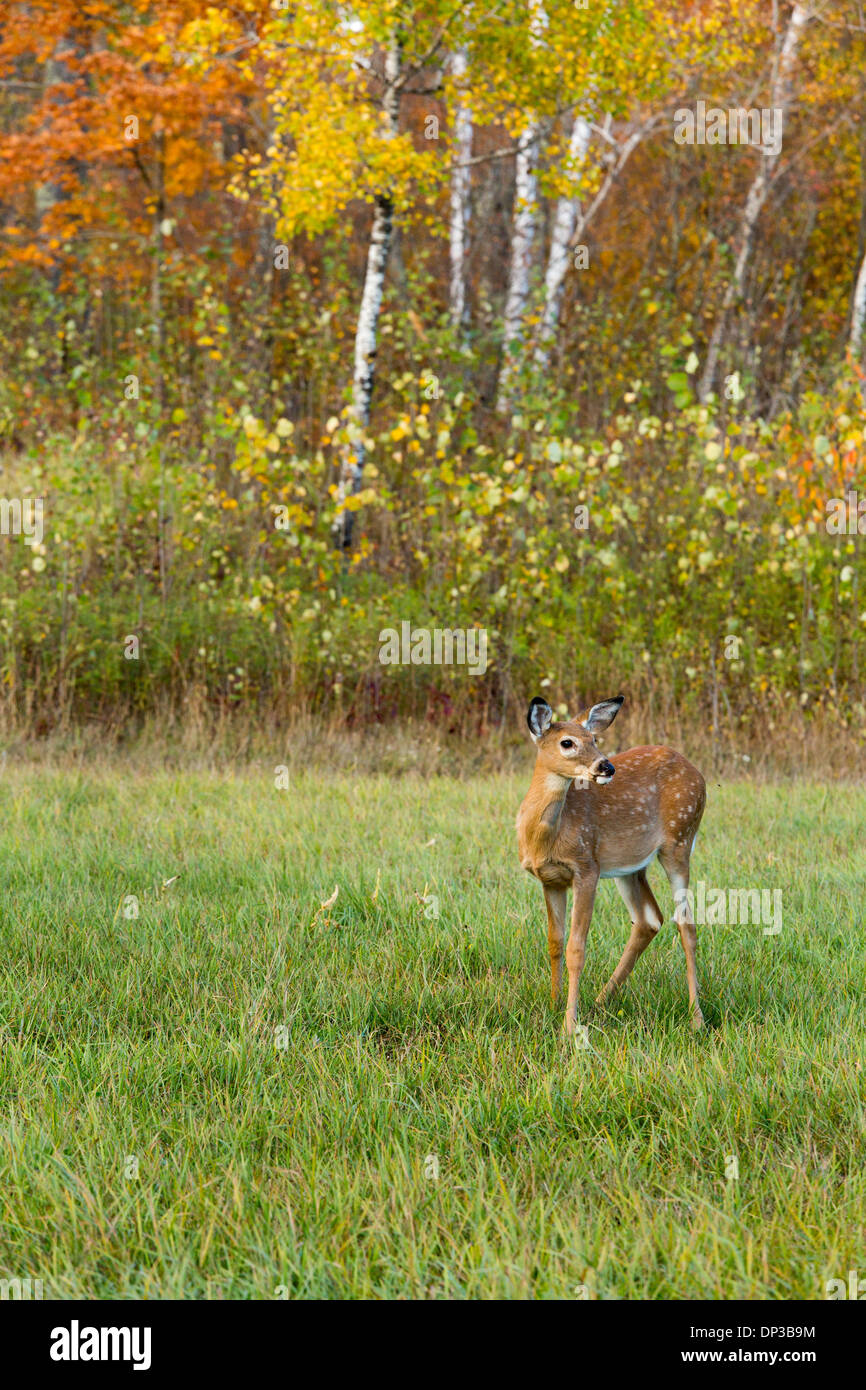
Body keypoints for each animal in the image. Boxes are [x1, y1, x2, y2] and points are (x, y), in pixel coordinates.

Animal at [516, 694, 706, 1036]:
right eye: (567, 742)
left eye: (594, 739)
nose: (606, 766)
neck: (546, 838)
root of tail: (698, 773)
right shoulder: (550, 880)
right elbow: (554, 942)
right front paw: (554, 1004)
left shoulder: (586, 868)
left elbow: (576, 949)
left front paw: (568, 1025)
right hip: (629, 866)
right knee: (649, 919)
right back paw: (601, 1000)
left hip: (679, 840)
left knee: (686, 923)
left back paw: (696, 1018)